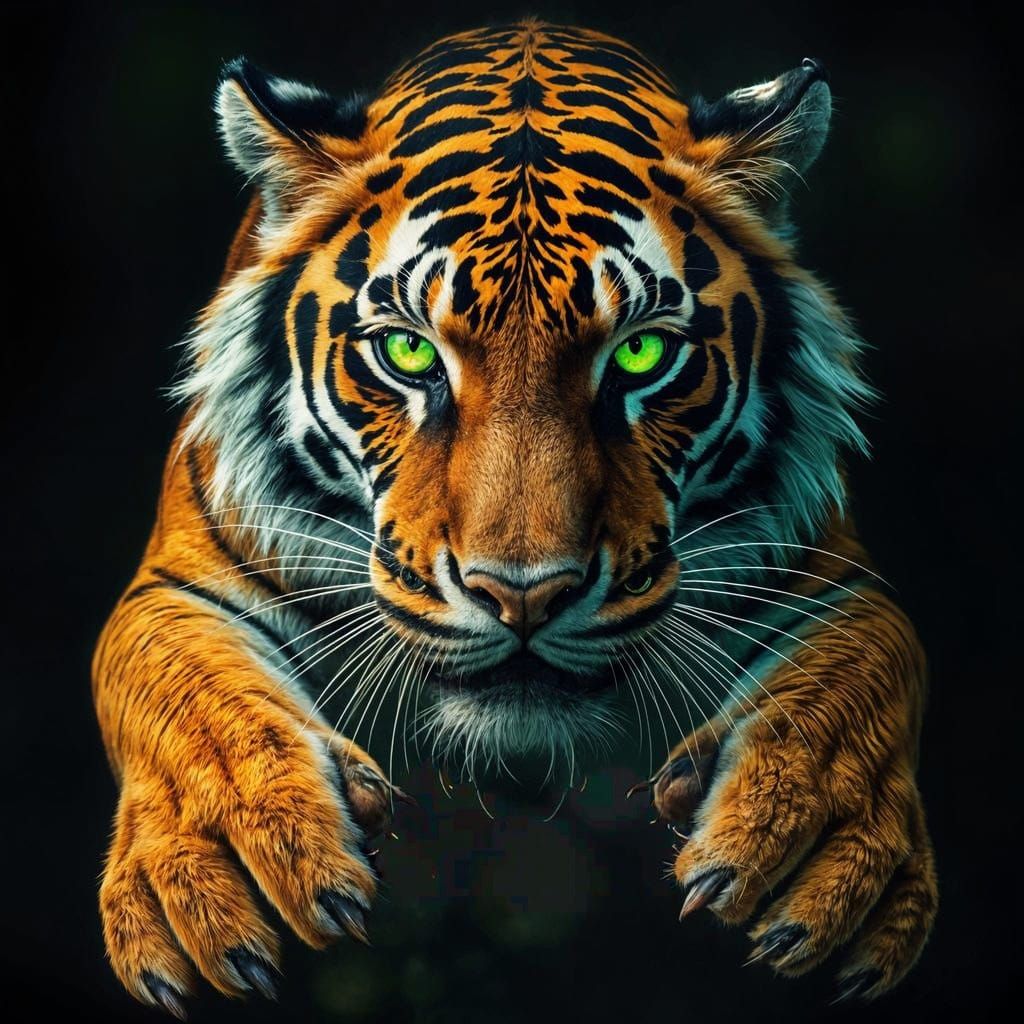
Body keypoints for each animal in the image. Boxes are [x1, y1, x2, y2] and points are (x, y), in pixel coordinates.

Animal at [93, 20, 937, 1015]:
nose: (524, 596)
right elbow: (176, 684)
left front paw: (817, 837)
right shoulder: (180, 572)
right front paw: (229, 850)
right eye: (408, 351)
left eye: (641, 353)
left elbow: (874, 666)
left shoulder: (831, 570)